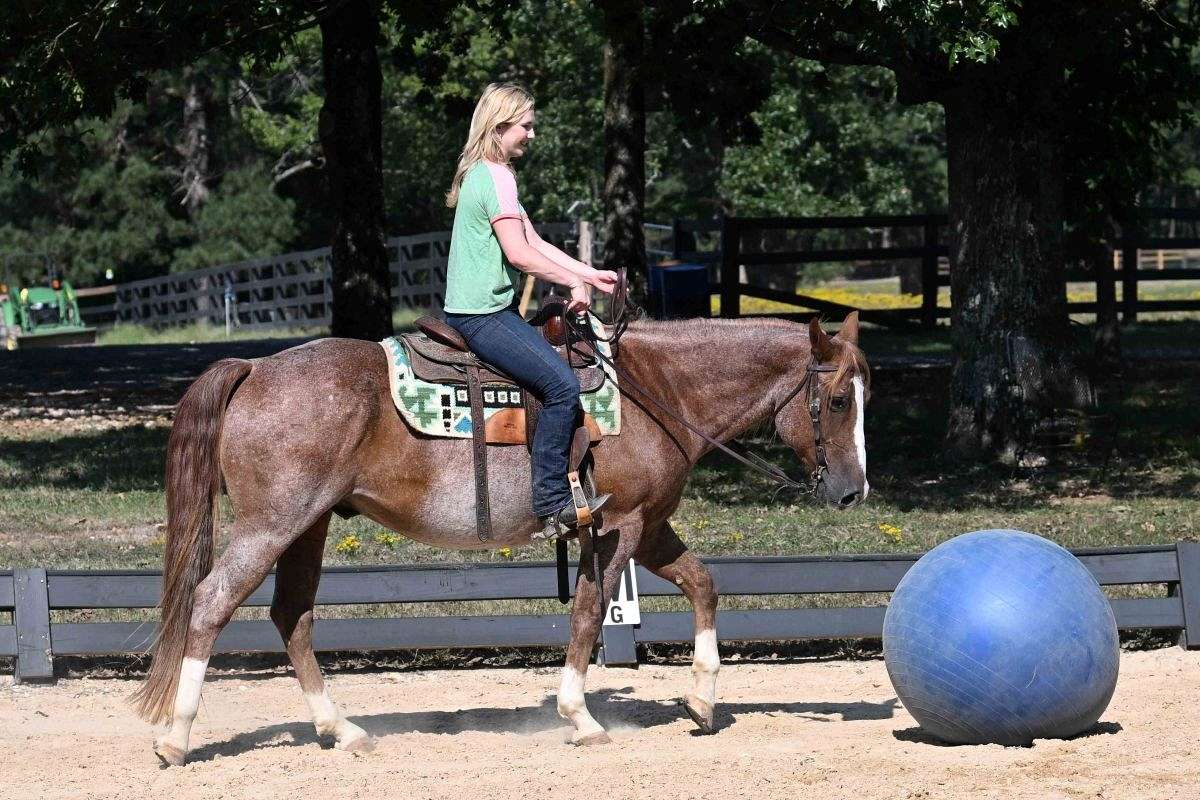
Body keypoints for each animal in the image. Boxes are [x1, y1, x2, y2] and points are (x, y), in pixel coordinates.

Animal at [132, 310, 871, 765]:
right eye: (838, 400)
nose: (853, 492)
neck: (657, 392)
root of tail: (255, 369)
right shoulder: (619, 526)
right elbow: (588, 614)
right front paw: (580, 716)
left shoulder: (651, 526)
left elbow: (704, 584)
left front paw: (702, 698)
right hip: (274, 523)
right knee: (211, 602)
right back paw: (177, 737)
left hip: (308, 526)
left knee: (292, 615)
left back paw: (341, 730)